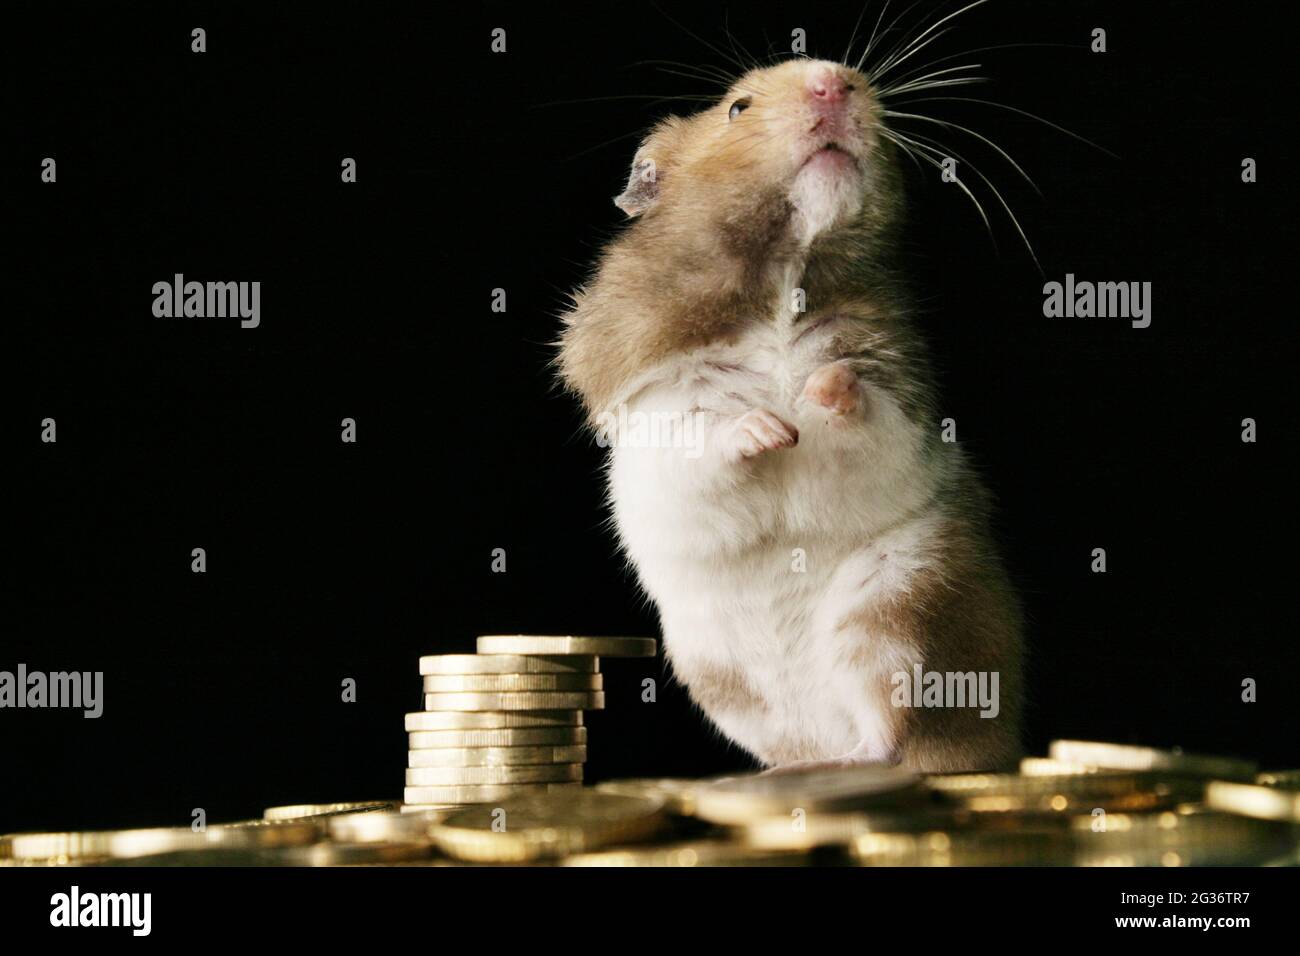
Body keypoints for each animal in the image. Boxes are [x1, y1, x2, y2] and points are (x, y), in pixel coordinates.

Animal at [557, 58, 1023, 773]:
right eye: (738, 108)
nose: (834, 78)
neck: (783, 274)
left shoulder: (903, 404)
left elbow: (868, 408)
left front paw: (816, 390)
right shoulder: (656, 410)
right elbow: (701, 435)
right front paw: (770, 426)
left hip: (899, 602)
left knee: (893, 729)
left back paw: (850, 757)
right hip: (721, 671)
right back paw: (799, 764)